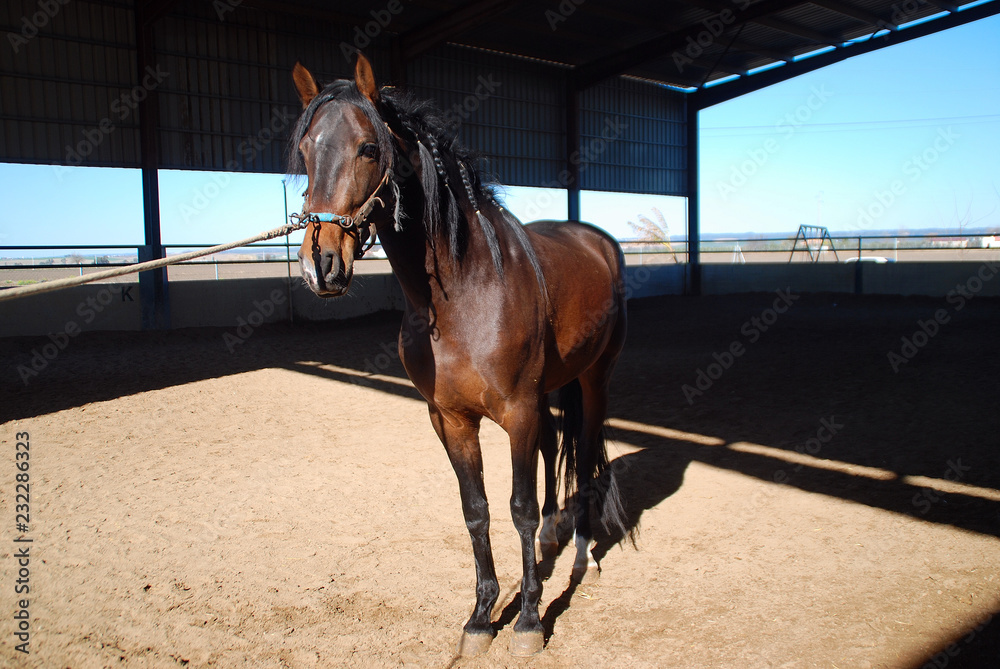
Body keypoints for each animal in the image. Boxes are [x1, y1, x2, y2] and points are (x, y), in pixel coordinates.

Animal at [288, 53, 628, 657]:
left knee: (585, 455)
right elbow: (477, 511)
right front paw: (480, 617)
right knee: (553, 453)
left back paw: (582, 554)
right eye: (305, 151)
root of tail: (597, 241)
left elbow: (517, 508)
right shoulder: (449, 419)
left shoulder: (517, 411)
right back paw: (555, 536)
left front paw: (528, 620)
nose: (320, 264)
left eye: (368, 148)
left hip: (594, 380)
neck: (467, 290)